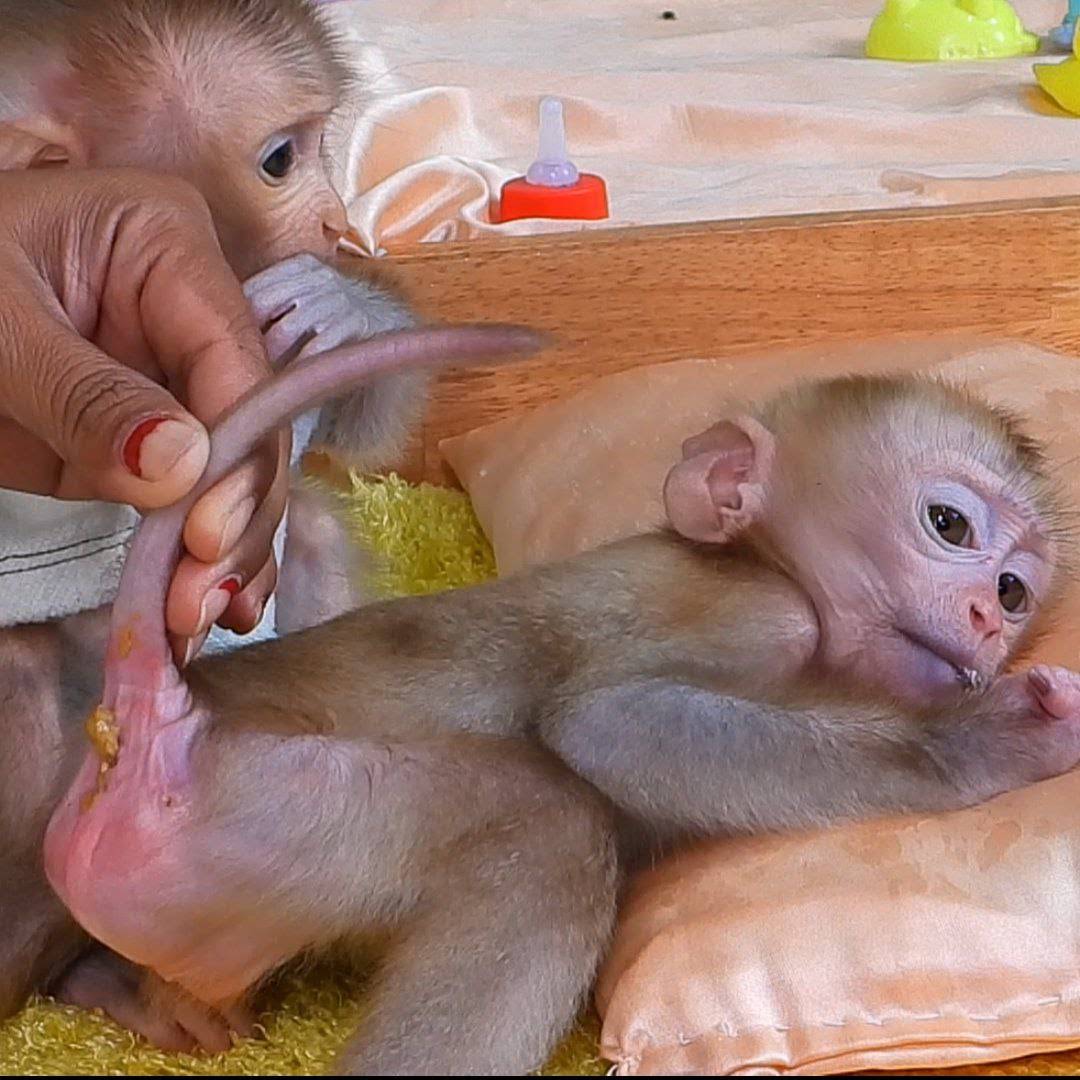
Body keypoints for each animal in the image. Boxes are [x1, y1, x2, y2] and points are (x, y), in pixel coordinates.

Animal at [37, 348, 1080, 1075]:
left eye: (1017, 590)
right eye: (949, 525)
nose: (989, 617)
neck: (768, 568)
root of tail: (158, 718)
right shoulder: (759, 614)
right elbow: (604, 724)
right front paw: (989, 745)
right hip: (241, 806)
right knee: (548, 832)